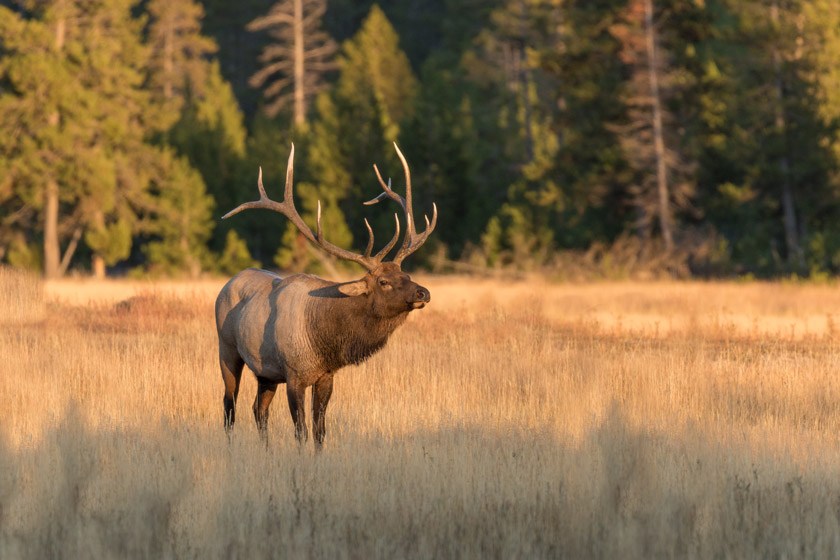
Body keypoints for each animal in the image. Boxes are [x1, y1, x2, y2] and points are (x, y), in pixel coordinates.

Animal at [215, 143, 437, 446]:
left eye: (406, 274)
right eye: (383, 281)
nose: (423, 292)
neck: (323, 341)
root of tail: (227, 284)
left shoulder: (326, 376)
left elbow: (320, 431)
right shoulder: (294, 375)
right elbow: (301, 431)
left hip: (265, 372)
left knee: (258, 410)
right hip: (227, 350)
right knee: (229, 407)